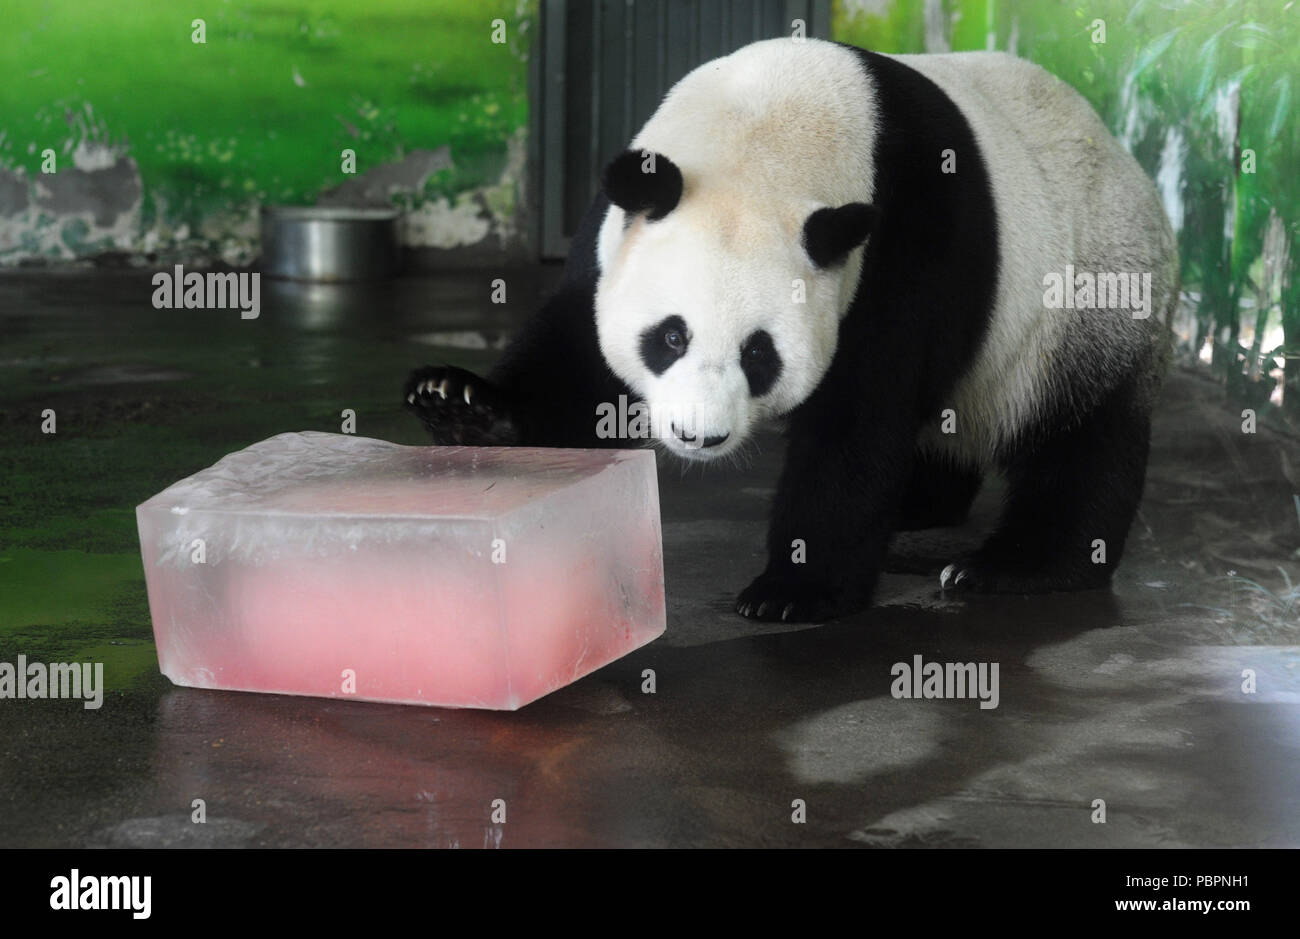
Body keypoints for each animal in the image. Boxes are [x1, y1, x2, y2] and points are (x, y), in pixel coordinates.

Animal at [404, 38, 1178, 624]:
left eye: (758, 353)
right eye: (671, 336)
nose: (699, 435)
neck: (770, 129)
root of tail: (1130, 164)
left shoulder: (905, 251)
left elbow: (860, 416)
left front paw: (794, 589)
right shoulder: (617, 229)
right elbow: (574, 345)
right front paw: (460, 404)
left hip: (1088, 303)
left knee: (1083, 443)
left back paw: (1016, 565)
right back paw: (919, 502)